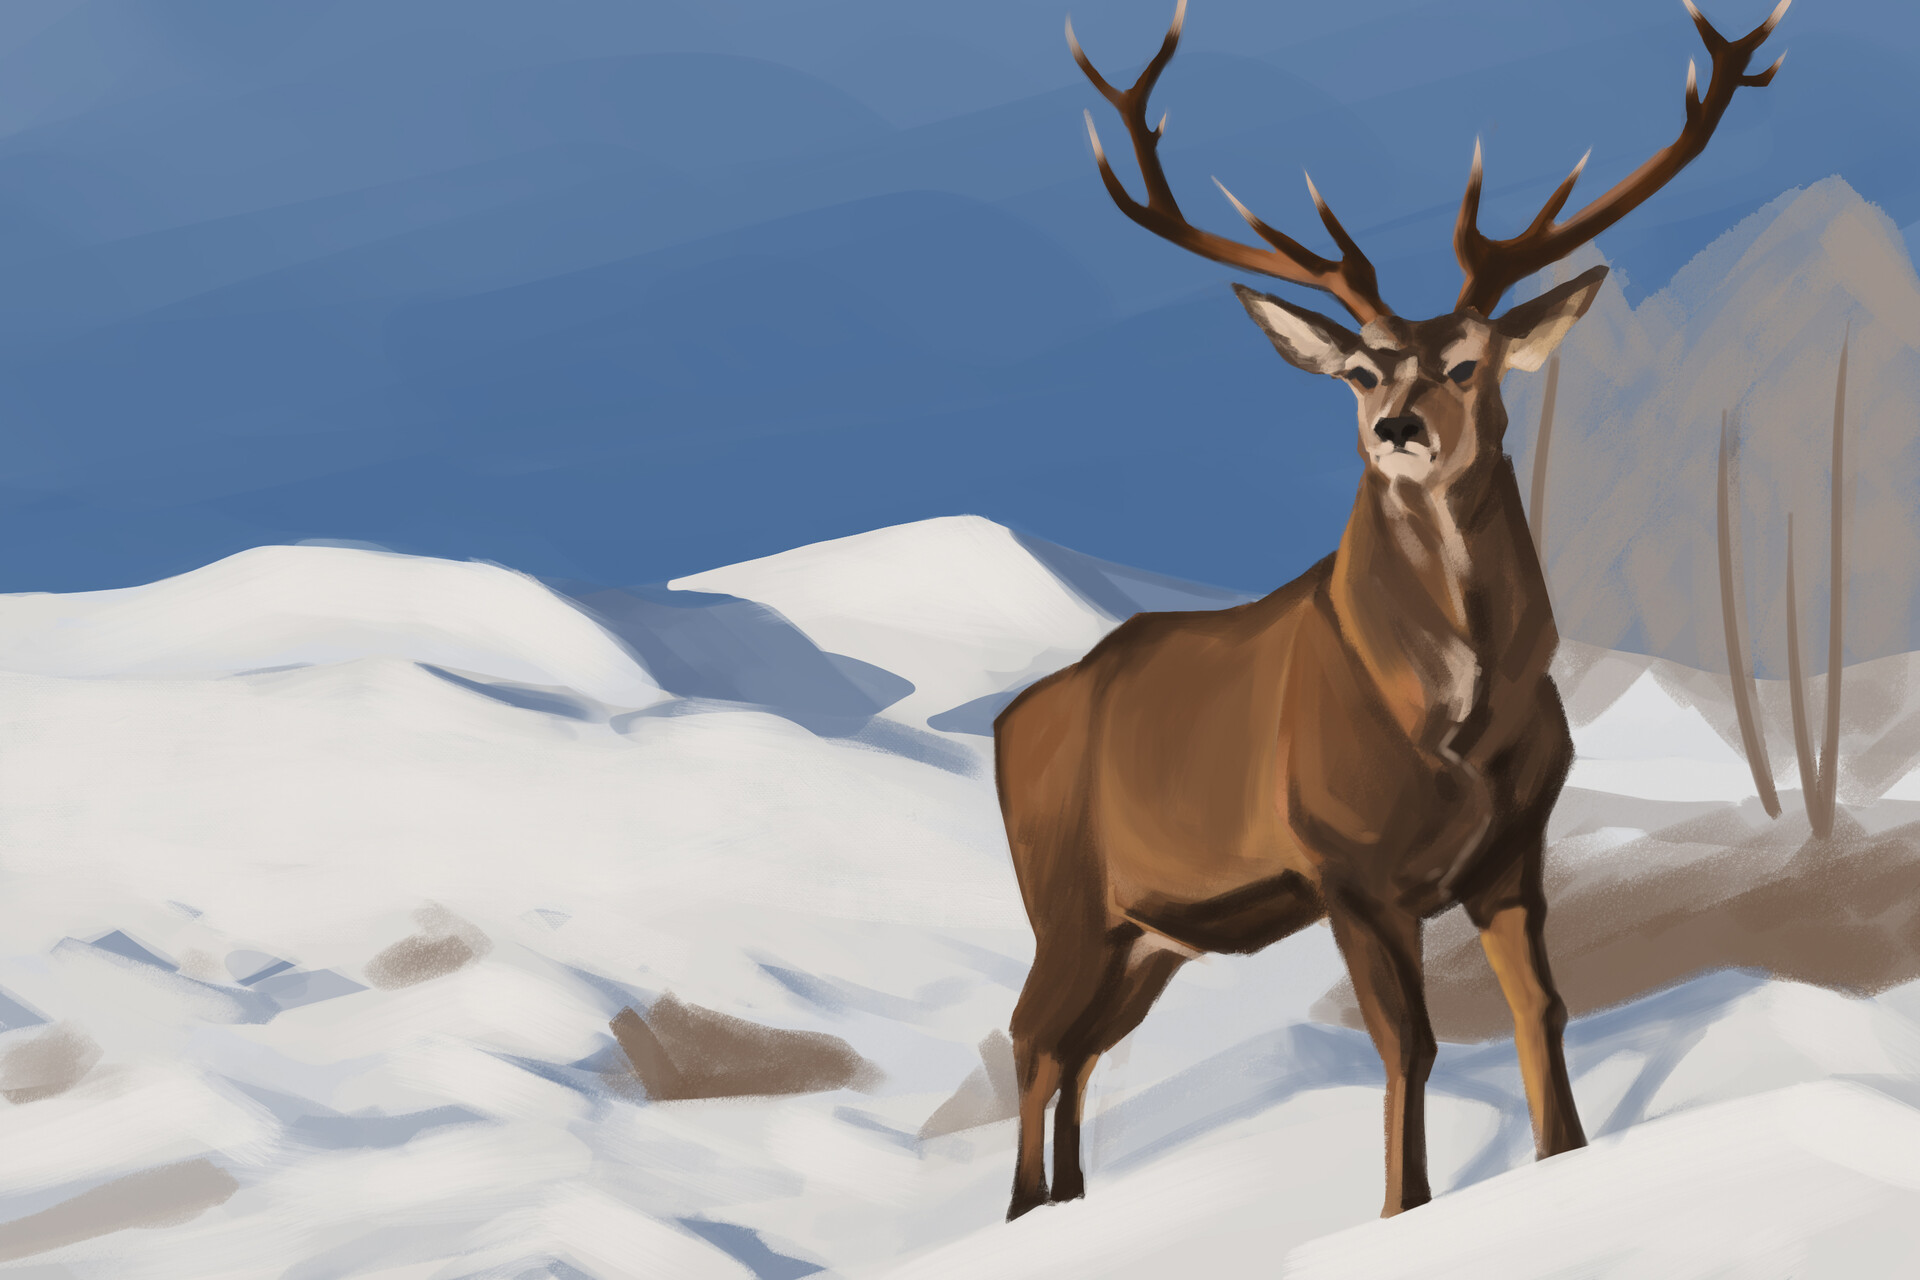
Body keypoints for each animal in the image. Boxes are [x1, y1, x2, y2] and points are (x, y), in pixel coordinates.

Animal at [996, 0, 1790, 1222]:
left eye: (1468, 363)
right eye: (1362, 372)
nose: (1398, 429)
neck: (1456, 717)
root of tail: (1009, 720)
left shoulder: (1510, 854)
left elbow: (1543, 1009)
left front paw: (1566, 1161)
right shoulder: (1349, 866)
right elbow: (1406, 1043)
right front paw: (1401, 1210)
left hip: (1152, 934)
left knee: (1077, 1050)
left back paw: (1067, 1206)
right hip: (1067, 897)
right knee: (1030, 1038)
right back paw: (1022, 1213)